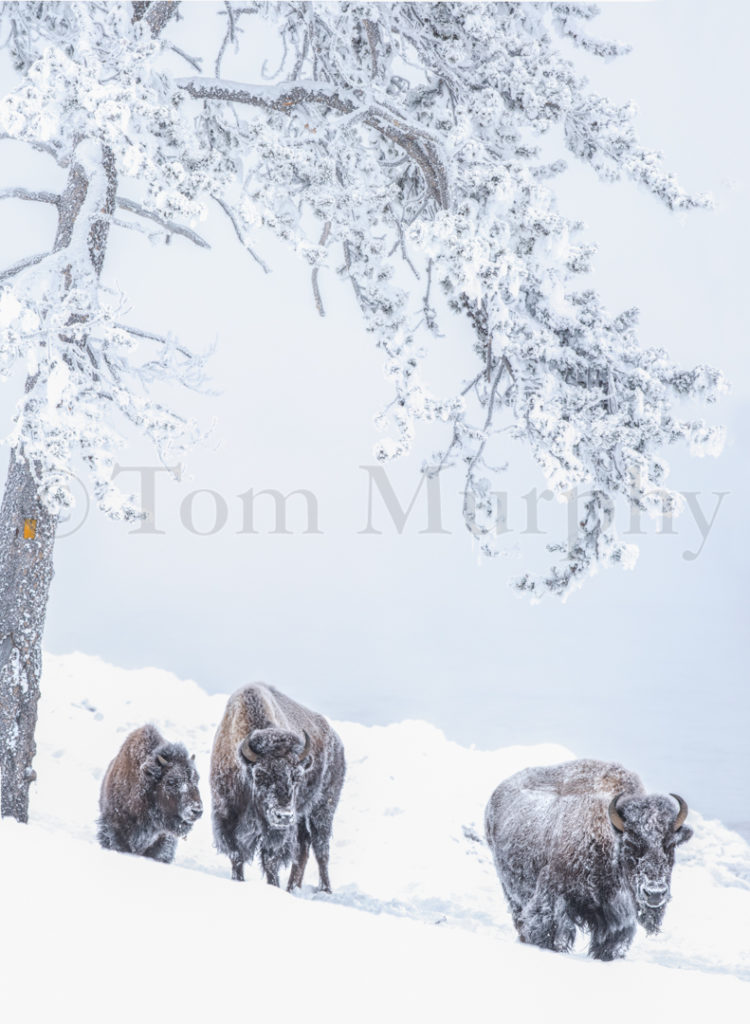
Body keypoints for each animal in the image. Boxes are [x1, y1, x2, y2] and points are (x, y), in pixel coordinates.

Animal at [210, 683, 345, 891]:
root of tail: (337, 743)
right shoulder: (226, 818)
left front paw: (273, 886)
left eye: (296, 776)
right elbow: (236, 857)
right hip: (300, 817)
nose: (284, 816)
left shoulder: (275, 832)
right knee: (304, 846)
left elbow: (270, 861)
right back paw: (292, 888)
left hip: (322, 809)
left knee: (321, 849)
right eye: (260, 774)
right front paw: (237, 881)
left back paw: (325, 890)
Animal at [484, 759, 692, 960]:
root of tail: (494, 797)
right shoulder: (552, 899)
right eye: (630, 843)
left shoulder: (617, 919)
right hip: (511, 893)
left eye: (670, 844)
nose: (655, 893)